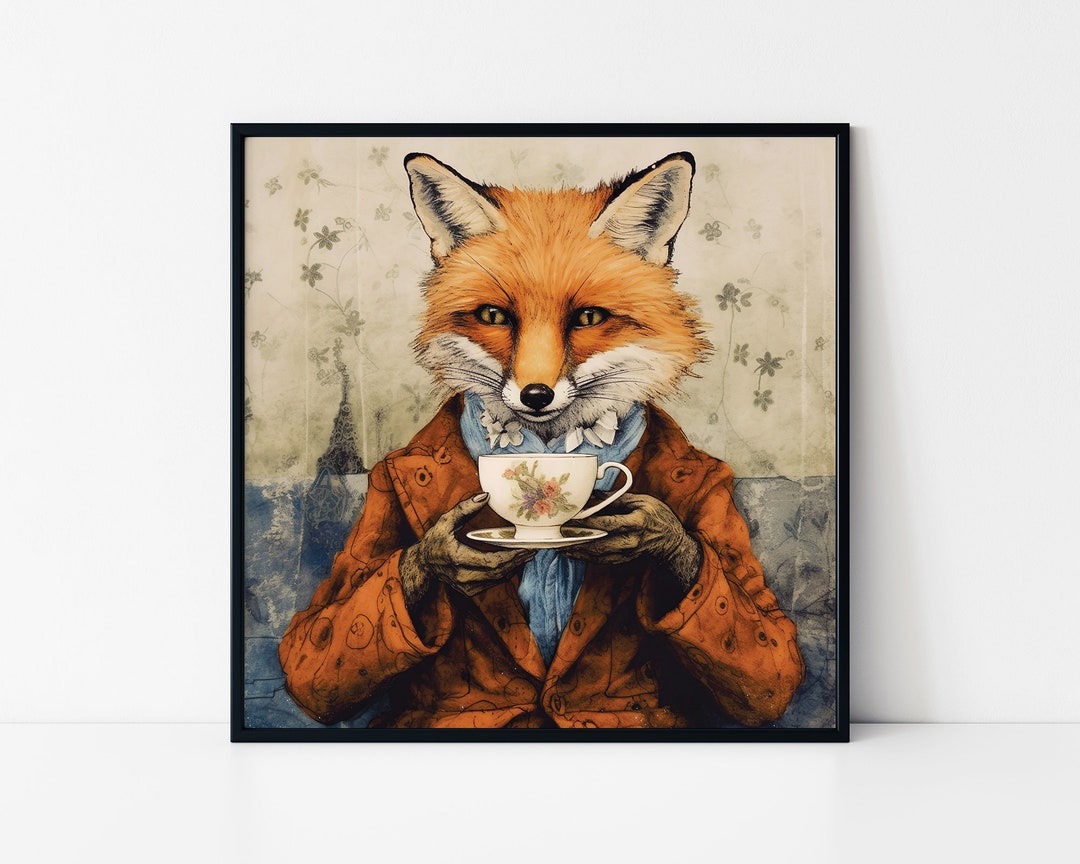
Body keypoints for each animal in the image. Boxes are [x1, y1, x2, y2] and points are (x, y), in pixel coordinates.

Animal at [278, 151, 804, 729]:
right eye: (494, 316)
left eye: (588, 317)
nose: (535, 395)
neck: (548, 445)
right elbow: (312, 647)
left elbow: (770, 656)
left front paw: (657, 533)